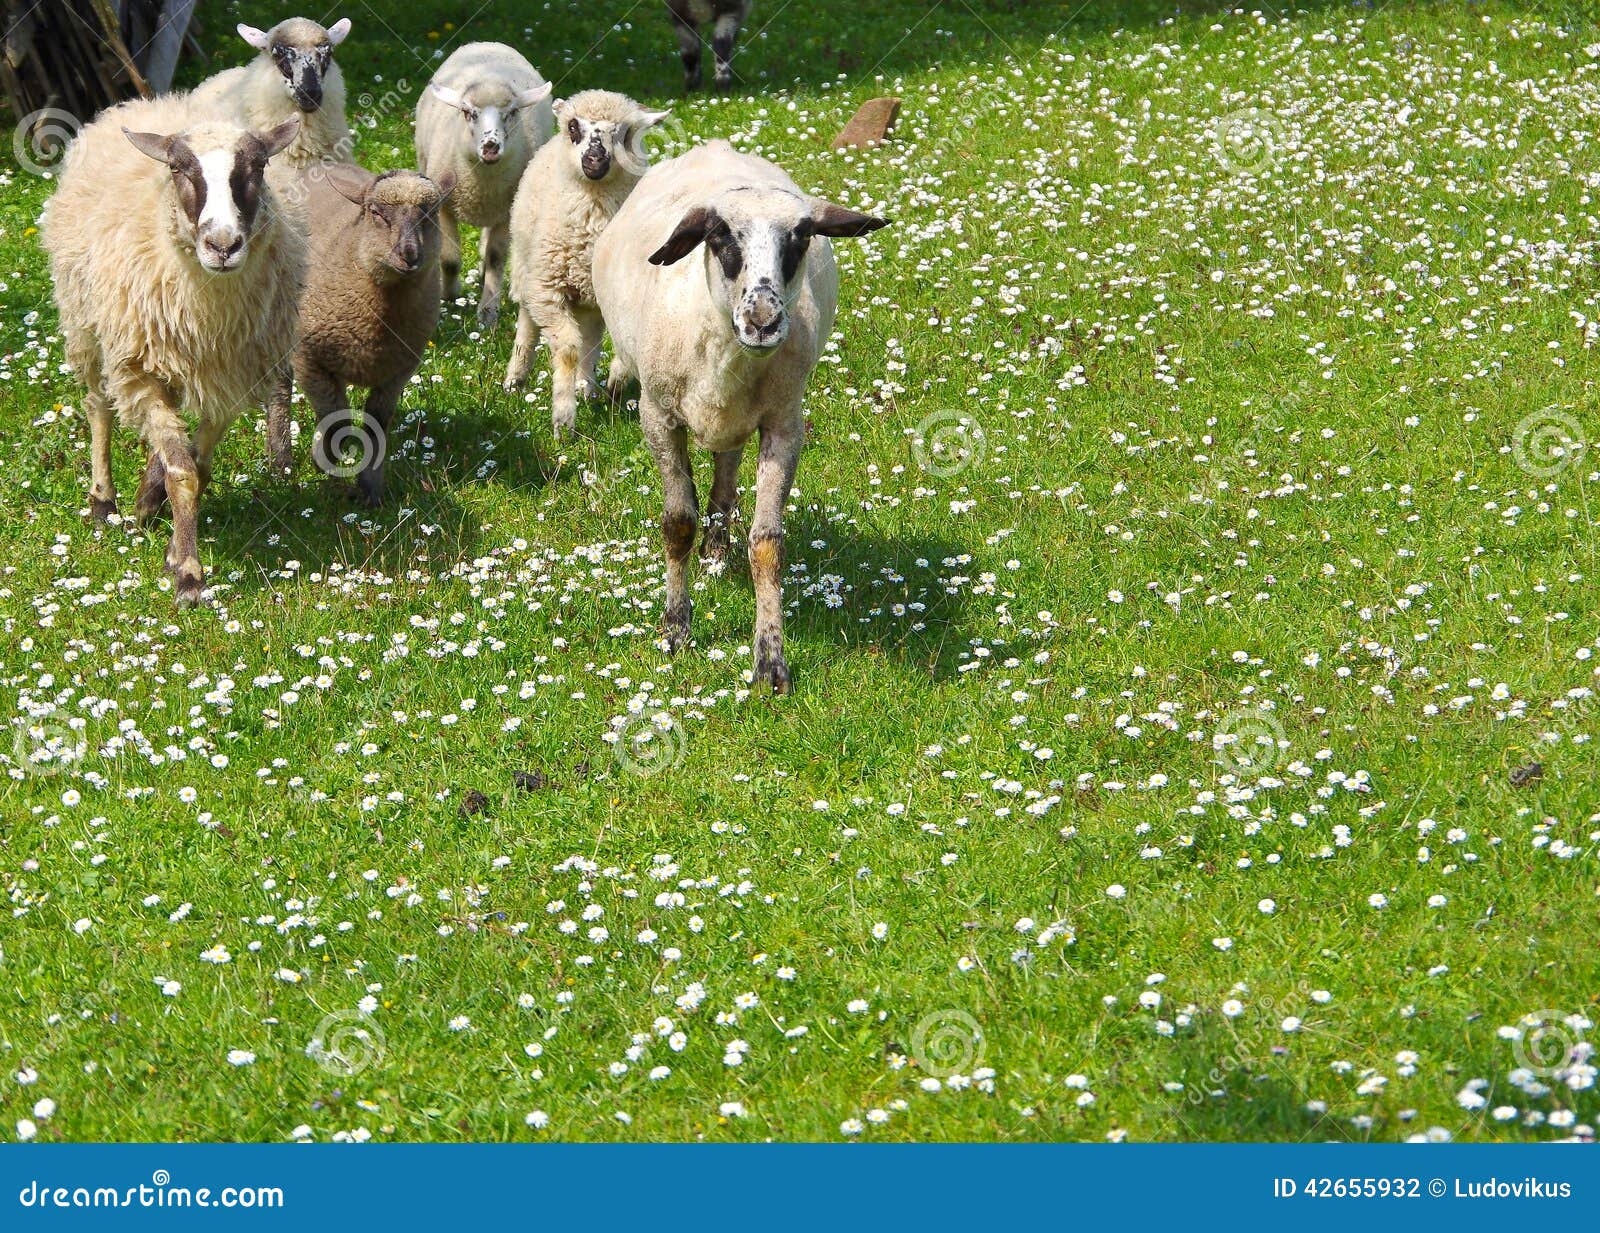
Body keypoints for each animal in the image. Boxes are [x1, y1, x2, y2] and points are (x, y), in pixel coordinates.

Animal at [40, 94, 305, 607]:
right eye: (180, 169)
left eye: (259, 166)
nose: (223, 244)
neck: (209, 309)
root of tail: (149, 103)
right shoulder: (138, 370)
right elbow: (184, 473)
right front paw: (187, 574)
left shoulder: (230, 374)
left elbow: (195, 463)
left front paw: (161, 521)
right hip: (87, 326)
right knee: (98, 406)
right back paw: (103, 500)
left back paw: (146, 494)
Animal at [291, 164, 455, 507]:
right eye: (375, 212)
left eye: (431, 214)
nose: (409, 254)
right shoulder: (308, 360)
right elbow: (336, 419)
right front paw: (324, 462)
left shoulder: (399, 370)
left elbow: (376, 422)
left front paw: (371, 489)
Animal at [415, 42, 554, 330]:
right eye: (468, 112)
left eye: (511, 113)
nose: (491, 146)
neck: (481, 185)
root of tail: (489, 43)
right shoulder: (443, 206)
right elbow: (450, 259)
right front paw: (449, 295)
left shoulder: (505, 213)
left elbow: (495, 259)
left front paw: (488, 313)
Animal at [503, 90, 670, 436]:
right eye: (573, 126)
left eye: (624, 133)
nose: (595, 159)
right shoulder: (548, 291)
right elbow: (567, 349)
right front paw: (563, 421)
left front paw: (615, 382)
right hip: (528, 268)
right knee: (528, 322)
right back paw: (516, 379)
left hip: (590, 297)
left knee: (591, 338)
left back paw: (588, 386)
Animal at [592, 142, 888, 693]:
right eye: (718, 235)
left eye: (802, 236)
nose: (763, 321)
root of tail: (715, 148)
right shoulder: (658, 417)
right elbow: (677, 523)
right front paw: (675, 628)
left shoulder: (784, 426)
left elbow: (767, 544)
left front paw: (770, 660)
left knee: (726, 470)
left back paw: (717, 544)